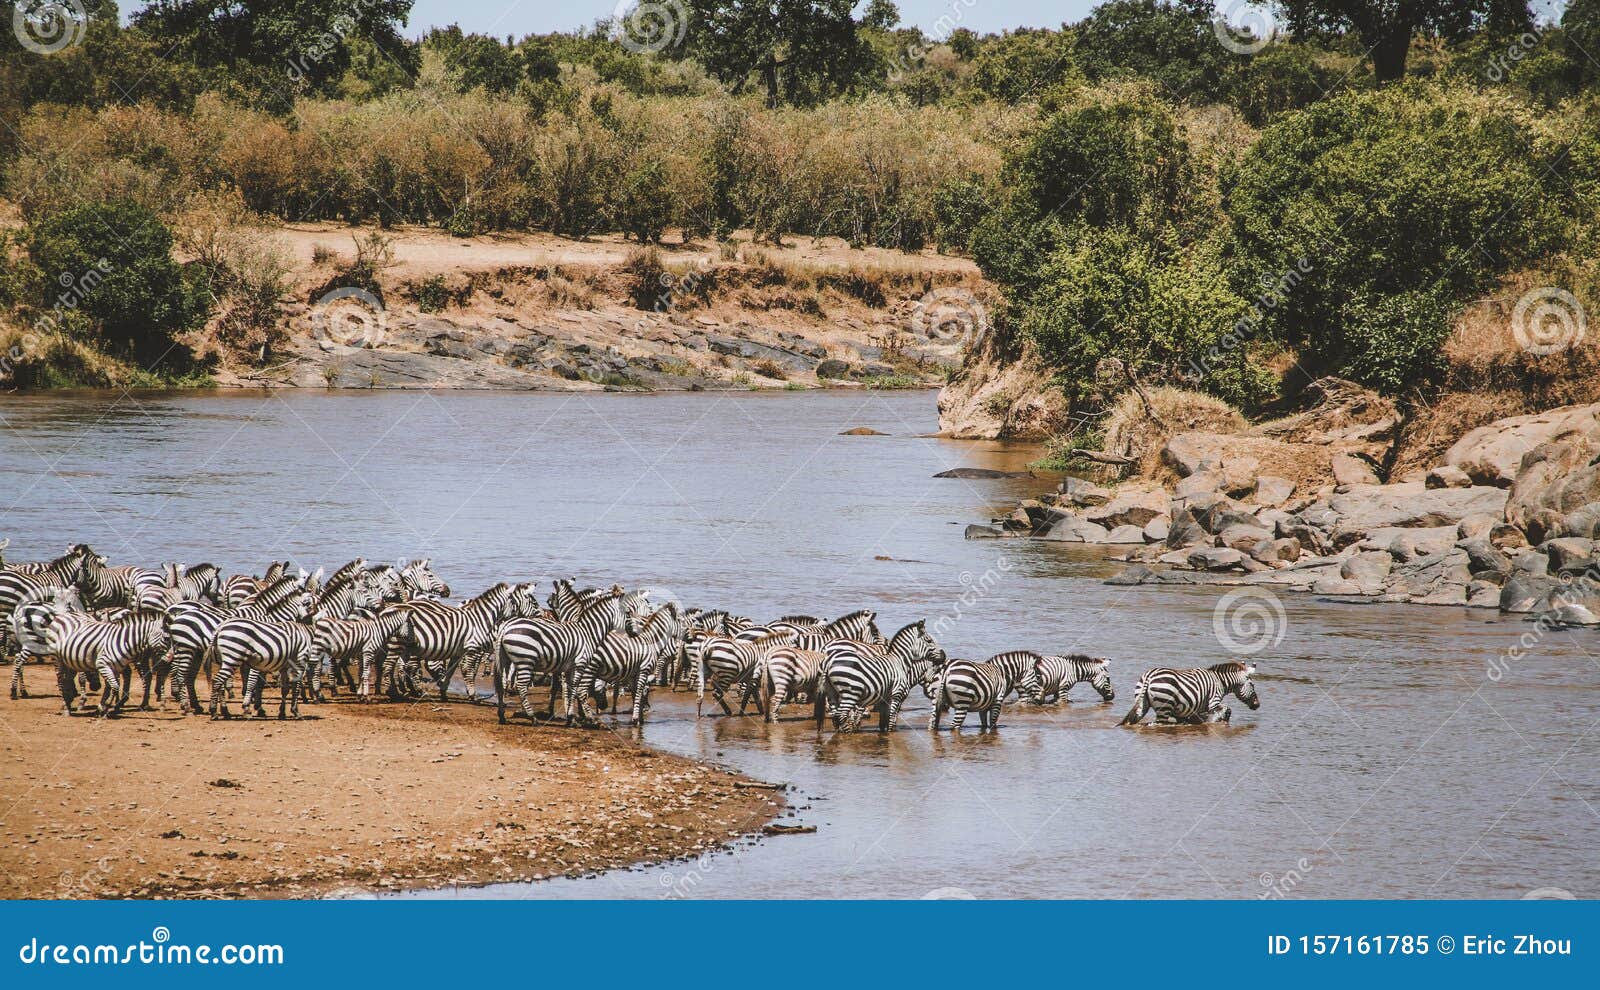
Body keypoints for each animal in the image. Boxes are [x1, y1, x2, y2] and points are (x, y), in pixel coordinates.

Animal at [493, 591, 630, 724]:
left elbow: (567, 689)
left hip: (505, 659)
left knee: (501, 685)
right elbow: (574, 688)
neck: (588, 632)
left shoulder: (567, 668)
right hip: (525, 661)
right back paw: (532, 717)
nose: (604, 706)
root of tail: (505, 626)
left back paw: (502, 715)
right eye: (628, 613)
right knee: (521, 687)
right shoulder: (578, 665)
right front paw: (578, 716)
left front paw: (569, 715)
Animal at [1120, 662, 1260, 726]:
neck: (1220, 681)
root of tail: (1149, 676)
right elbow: (1227, 710)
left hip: (1142, 702)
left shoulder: (1196, 708)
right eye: (1252, 685)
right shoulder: (1213, 702)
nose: (1257, 705)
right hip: (1164, 707)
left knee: (1134, 719)